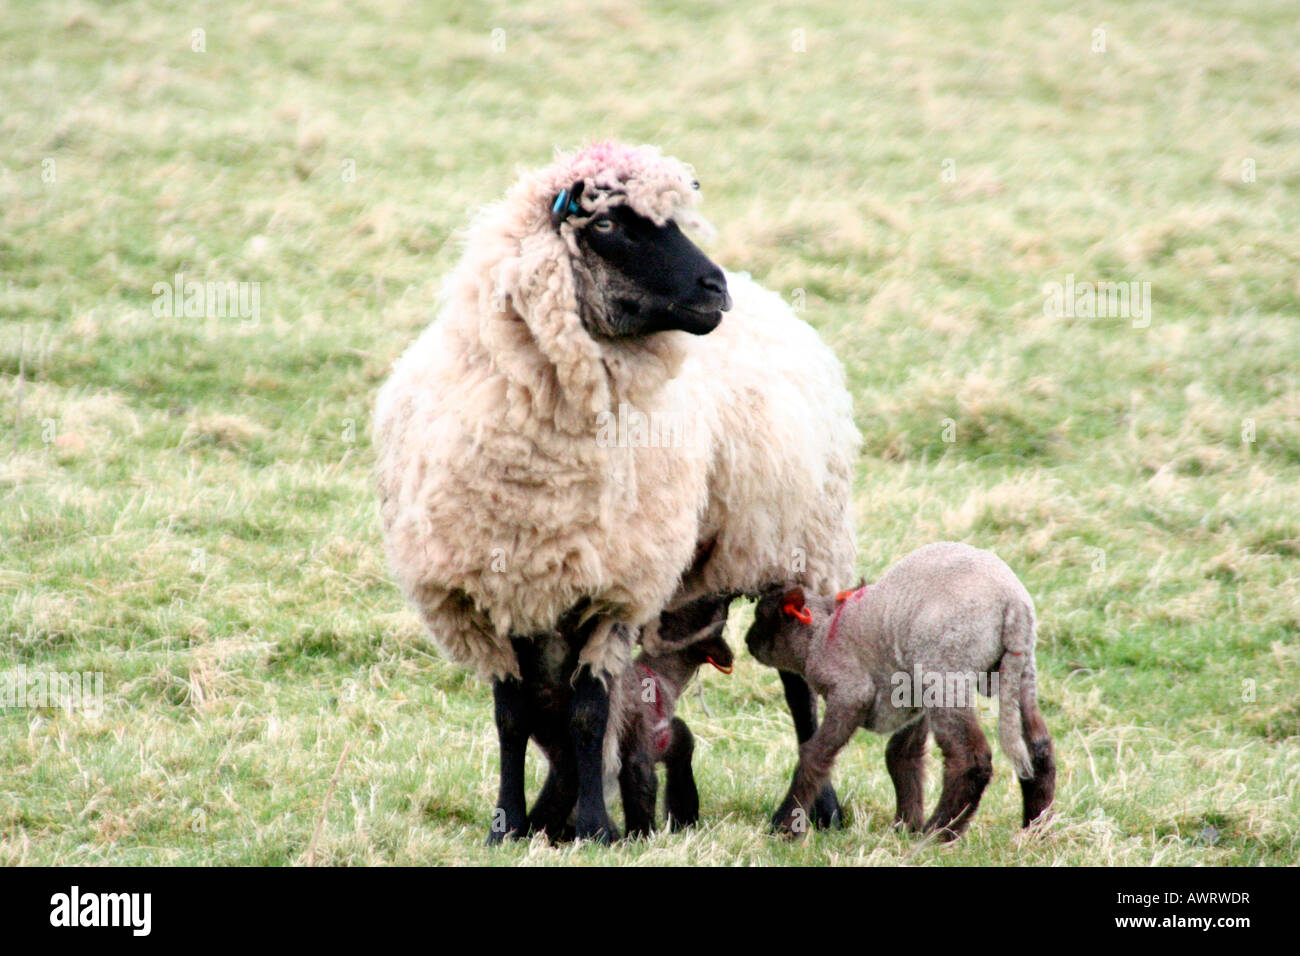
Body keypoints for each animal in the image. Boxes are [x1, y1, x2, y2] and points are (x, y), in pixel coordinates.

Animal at [373, 141, 860, 842]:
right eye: (605, 224)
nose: (716, 288)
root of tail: (772, 298)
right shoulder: (499, 590)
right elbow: (512, 718)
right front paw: (509, 824)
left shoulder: (613, 586)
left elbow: (588, 714)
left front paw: (595, 827)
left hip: (796, 549)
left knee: (799, 685)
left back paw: (815, 811)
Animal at [744, 542, 1056, 840]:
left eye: (761, 615)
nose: (747, 642)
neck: (819, 637)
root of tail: (1013, 602)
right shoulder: (913, 701)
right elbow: (901, 755)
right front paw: (905, 826)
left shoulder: (852, 693)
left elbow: (814, 754)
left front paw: (784, 826)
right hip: (1018, 670)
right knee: (1038, 746)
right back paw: (1035, 828)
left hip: (944, 671)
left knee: (972, 758)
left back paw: (937, 834)